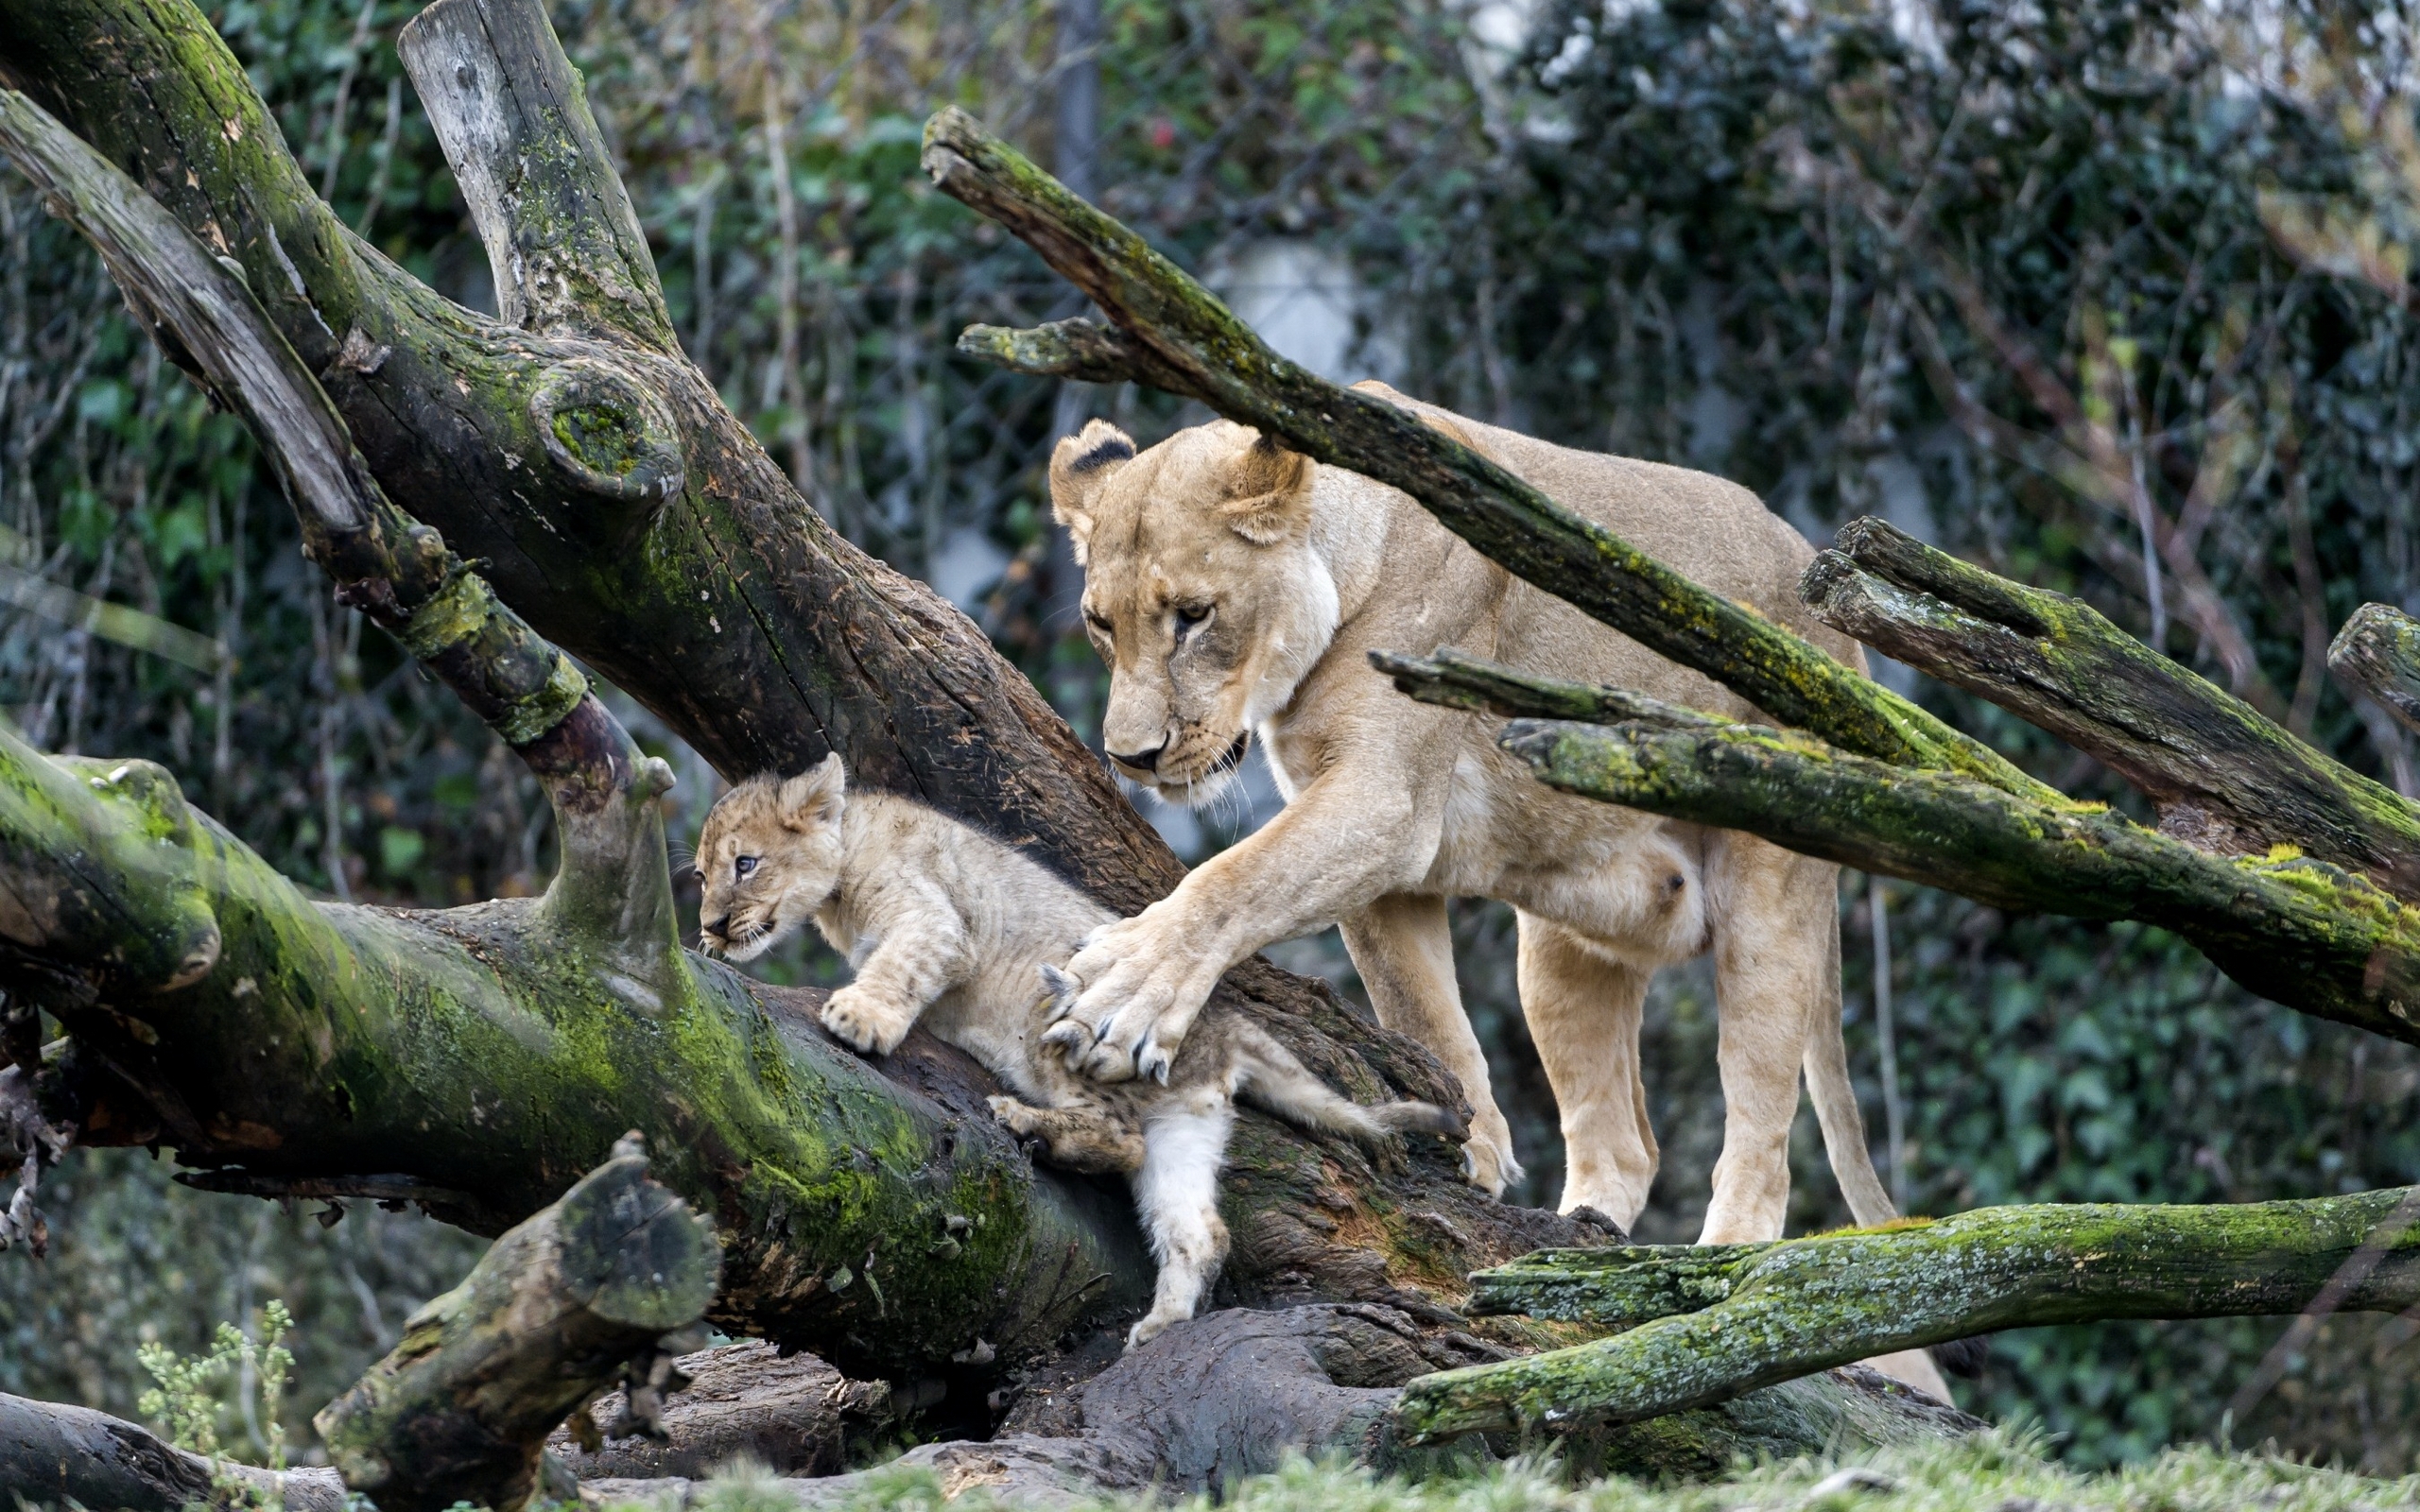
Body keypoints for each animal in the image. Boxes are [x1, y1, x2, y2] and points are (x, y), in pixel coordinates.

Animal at [692, 754, 1463, 1347]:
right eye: (701, 876)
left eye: (746, 864)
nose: (710, 929)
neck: (844, 866)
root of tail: (1226, 1028)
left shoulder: (937, 921)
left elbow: (900, 967)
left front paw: (860, 1016)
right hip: (1186, 1130)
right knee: (1192, 1220)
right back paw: (1161, 1325)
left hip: (1062, 1016)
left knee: (1118, 1136)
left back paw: (1024, 1121)